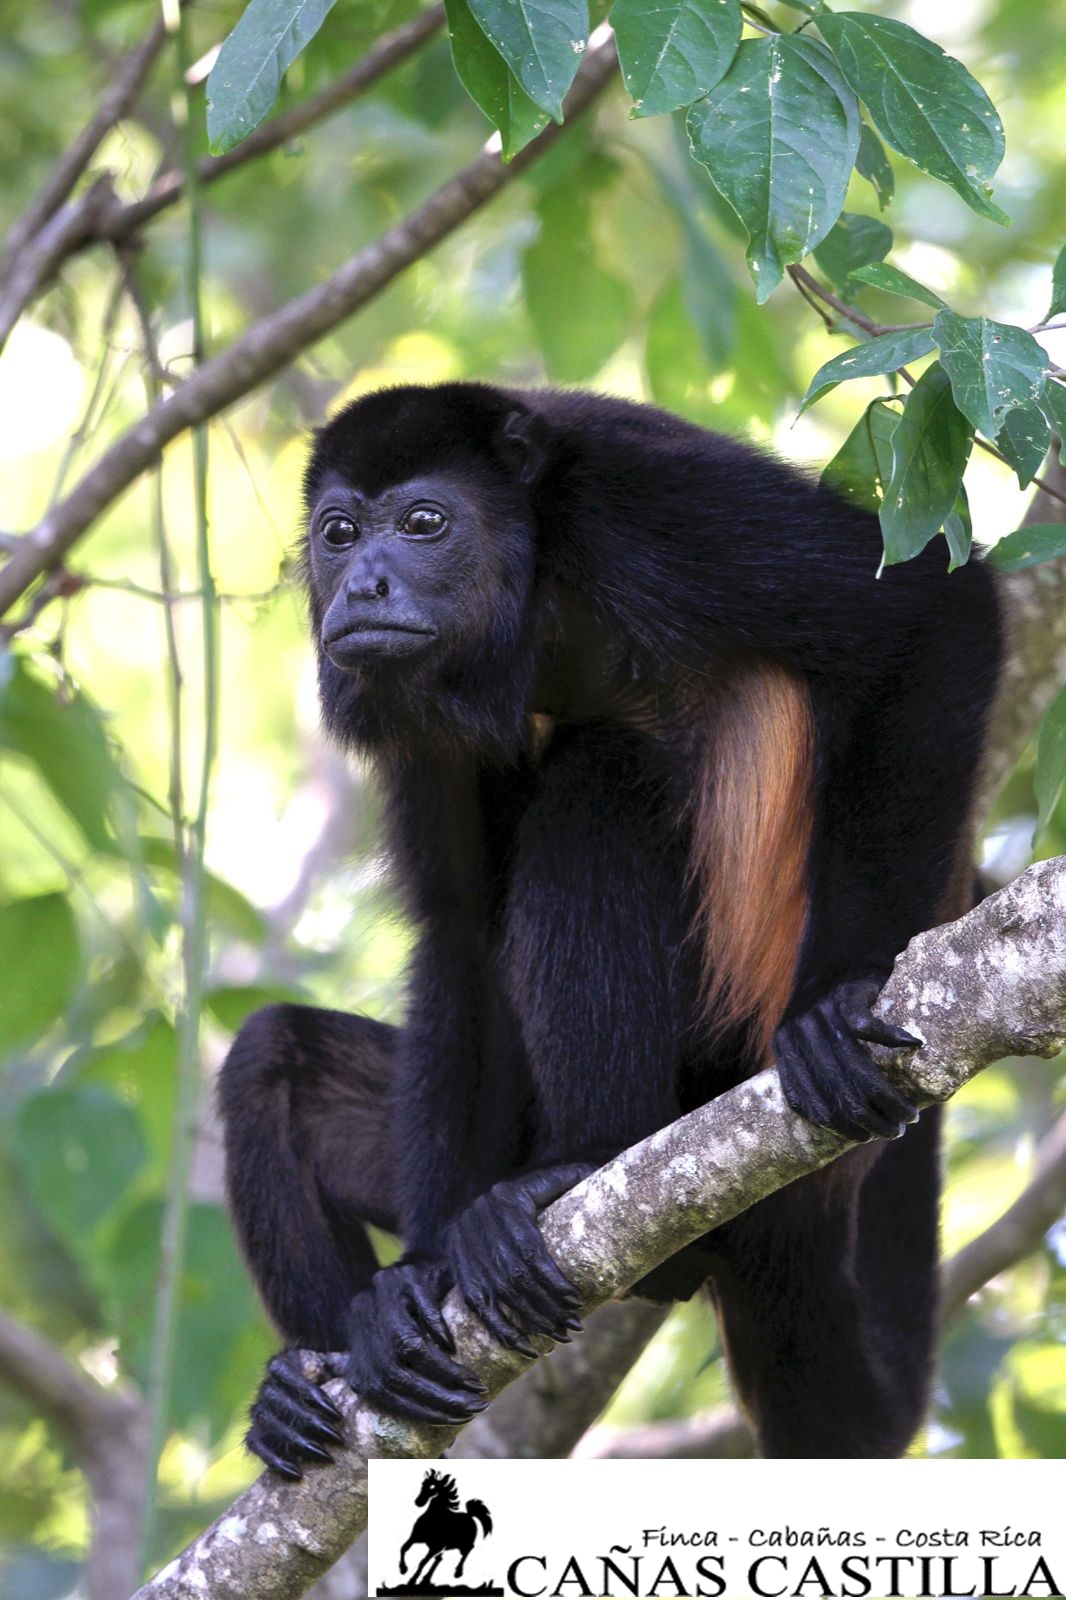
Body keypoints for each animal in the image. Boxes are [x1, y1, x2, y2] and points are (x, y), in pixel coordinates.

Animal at [217, 381, 1001, 1469]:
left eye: (423, 524)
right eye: (338, 534)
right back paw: (318, 1372)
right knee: (271, 1061)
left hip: (720, 1040)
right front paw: (412, 1276)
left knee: (598, 781)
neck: (534, 601)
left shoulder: (642, 510)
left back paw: (584, 1164)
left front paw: (839, 993)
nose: (363, 586)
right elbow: (457, 936)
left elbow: (932, 609)